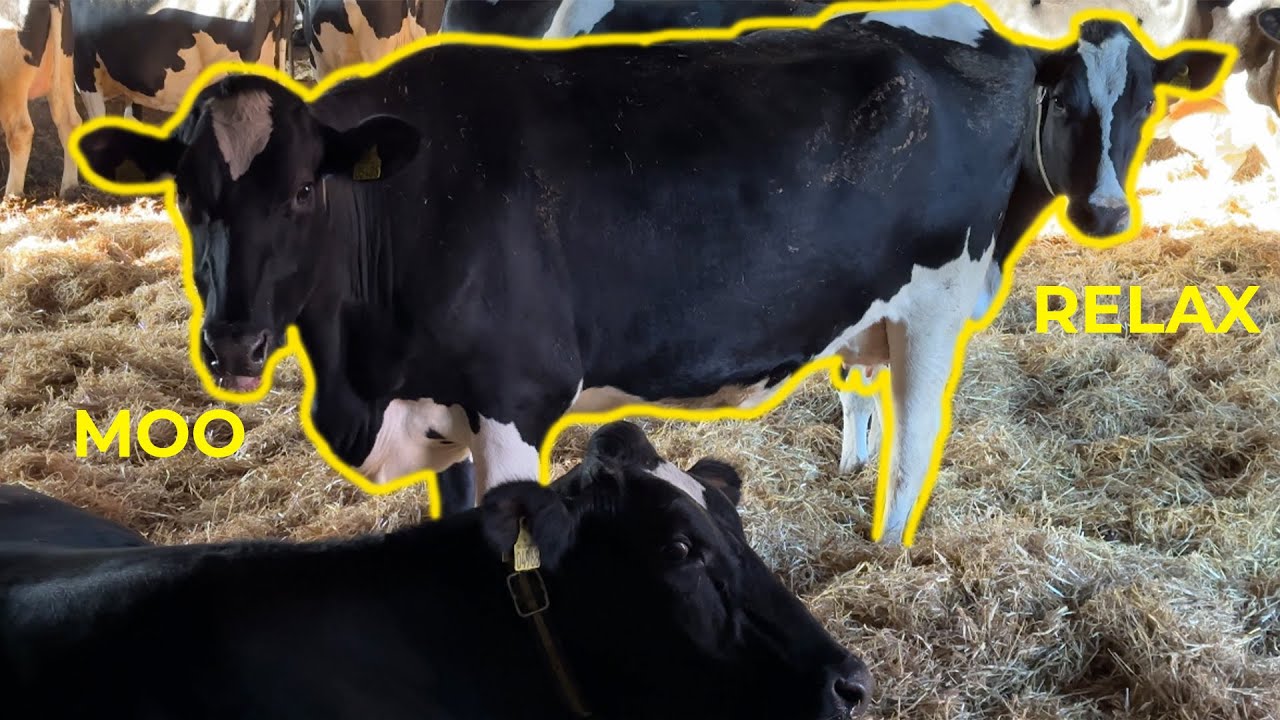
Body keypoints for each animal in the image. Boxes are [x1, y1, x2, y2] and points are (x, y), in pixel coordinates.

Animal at [0, 0, 80, 198]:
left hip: (10, 82)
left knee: (20, 131)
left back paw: (11, 195)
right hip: (64, 68)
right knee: (70, 122)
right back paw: (69, 189)